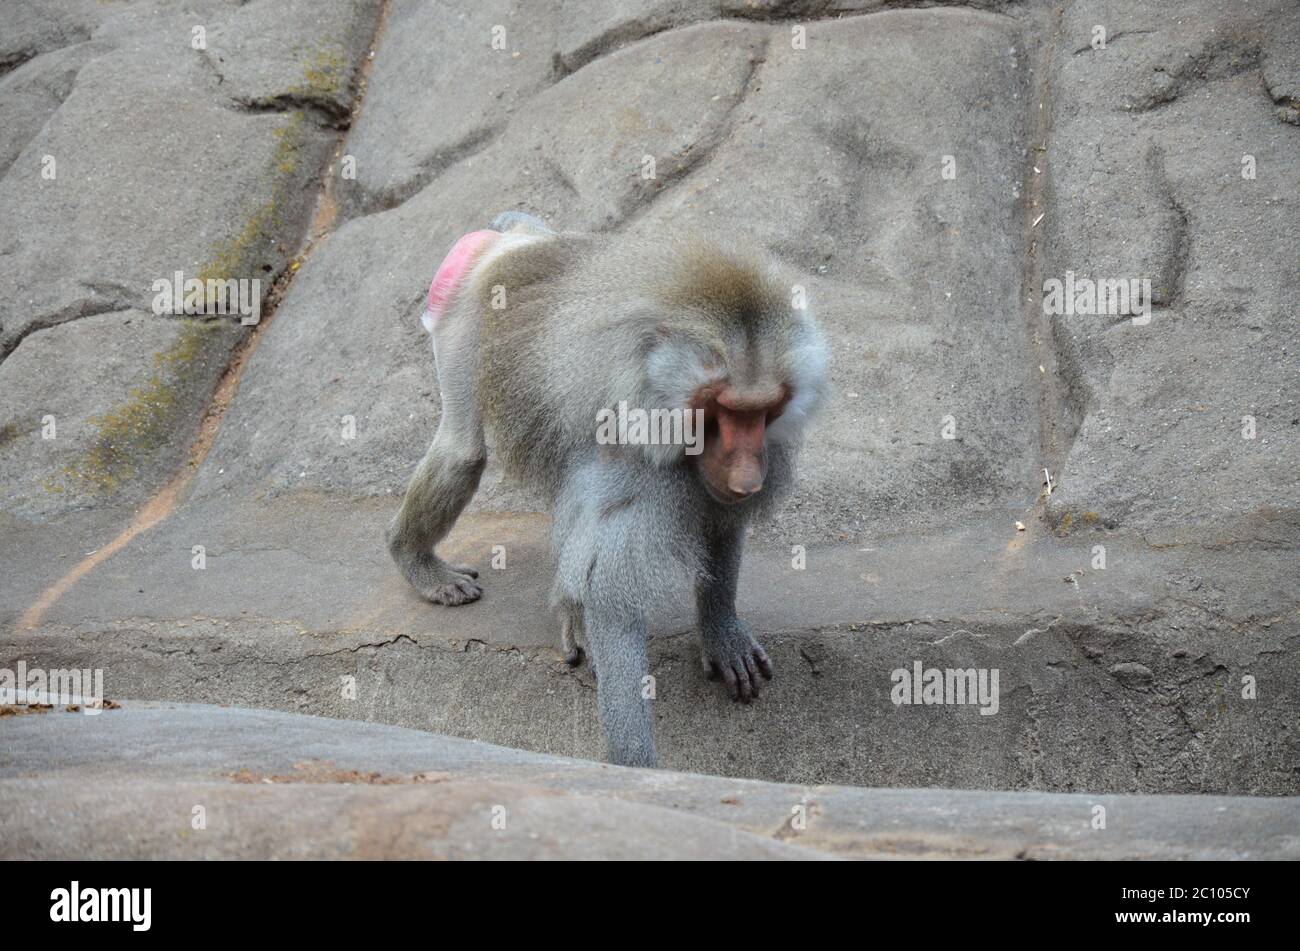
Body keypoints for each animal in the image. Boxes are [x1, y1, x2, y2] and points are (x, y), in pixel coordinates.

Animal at [386, 211, 829, 768]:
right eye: (724, 410)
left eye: (763, 410)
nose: (748, 478)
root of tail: (518, 242)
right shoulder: (636, 461)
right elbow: (611, 594)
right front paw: (634, 761)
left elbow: (721, 523)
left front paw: (721, 631)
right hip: (466, 314)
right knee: (463, 452)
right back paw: (416, 561)